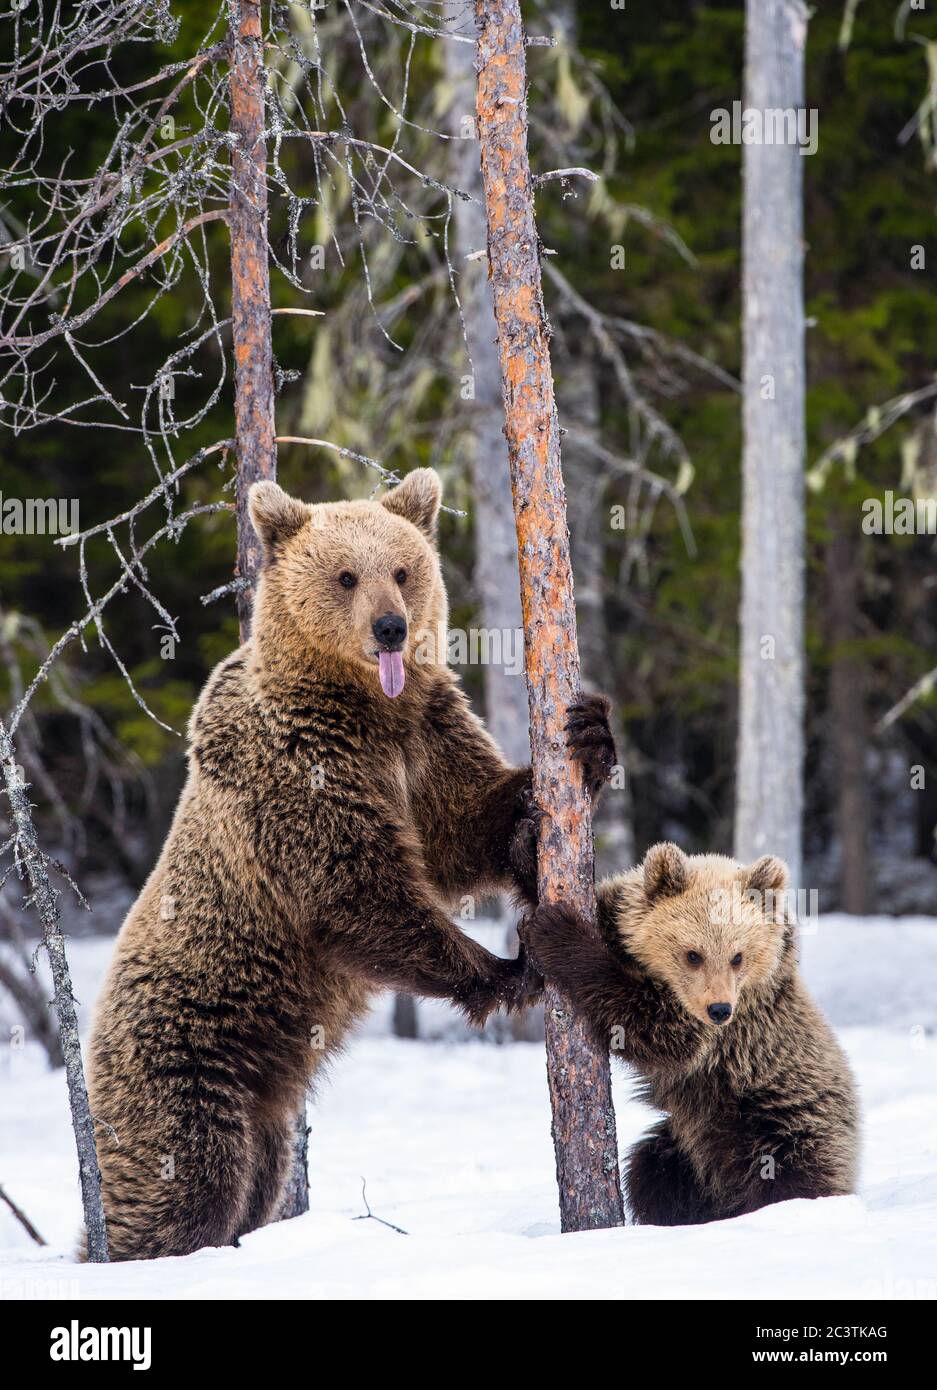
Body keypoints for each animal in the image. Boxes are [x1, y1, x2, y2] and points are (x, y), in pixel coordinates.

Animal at [85, 468, 615, 1260]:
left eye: (401, 569)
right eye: (345, 575)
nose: (390, 626)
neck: (364, 710)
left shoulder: (426, 738)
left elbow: (466, 826)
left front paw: (582, 746)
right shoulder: (299, 771)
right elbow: (358, 887)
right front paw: (507, 969)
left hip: (265, 1105)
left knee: (257, 1174)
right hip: (184, 1050)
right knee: (185, 1178)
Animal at [520, 842, 860, 1225]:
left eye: (737, 957)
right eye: (693, 954)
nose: (719, 1009)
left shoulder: (726, 1032)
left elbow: (659, 1032)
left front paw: (559, 933)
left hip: (784, 1126)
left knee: (793, 1180)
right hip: (688, 1145)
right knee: (652, 1171)